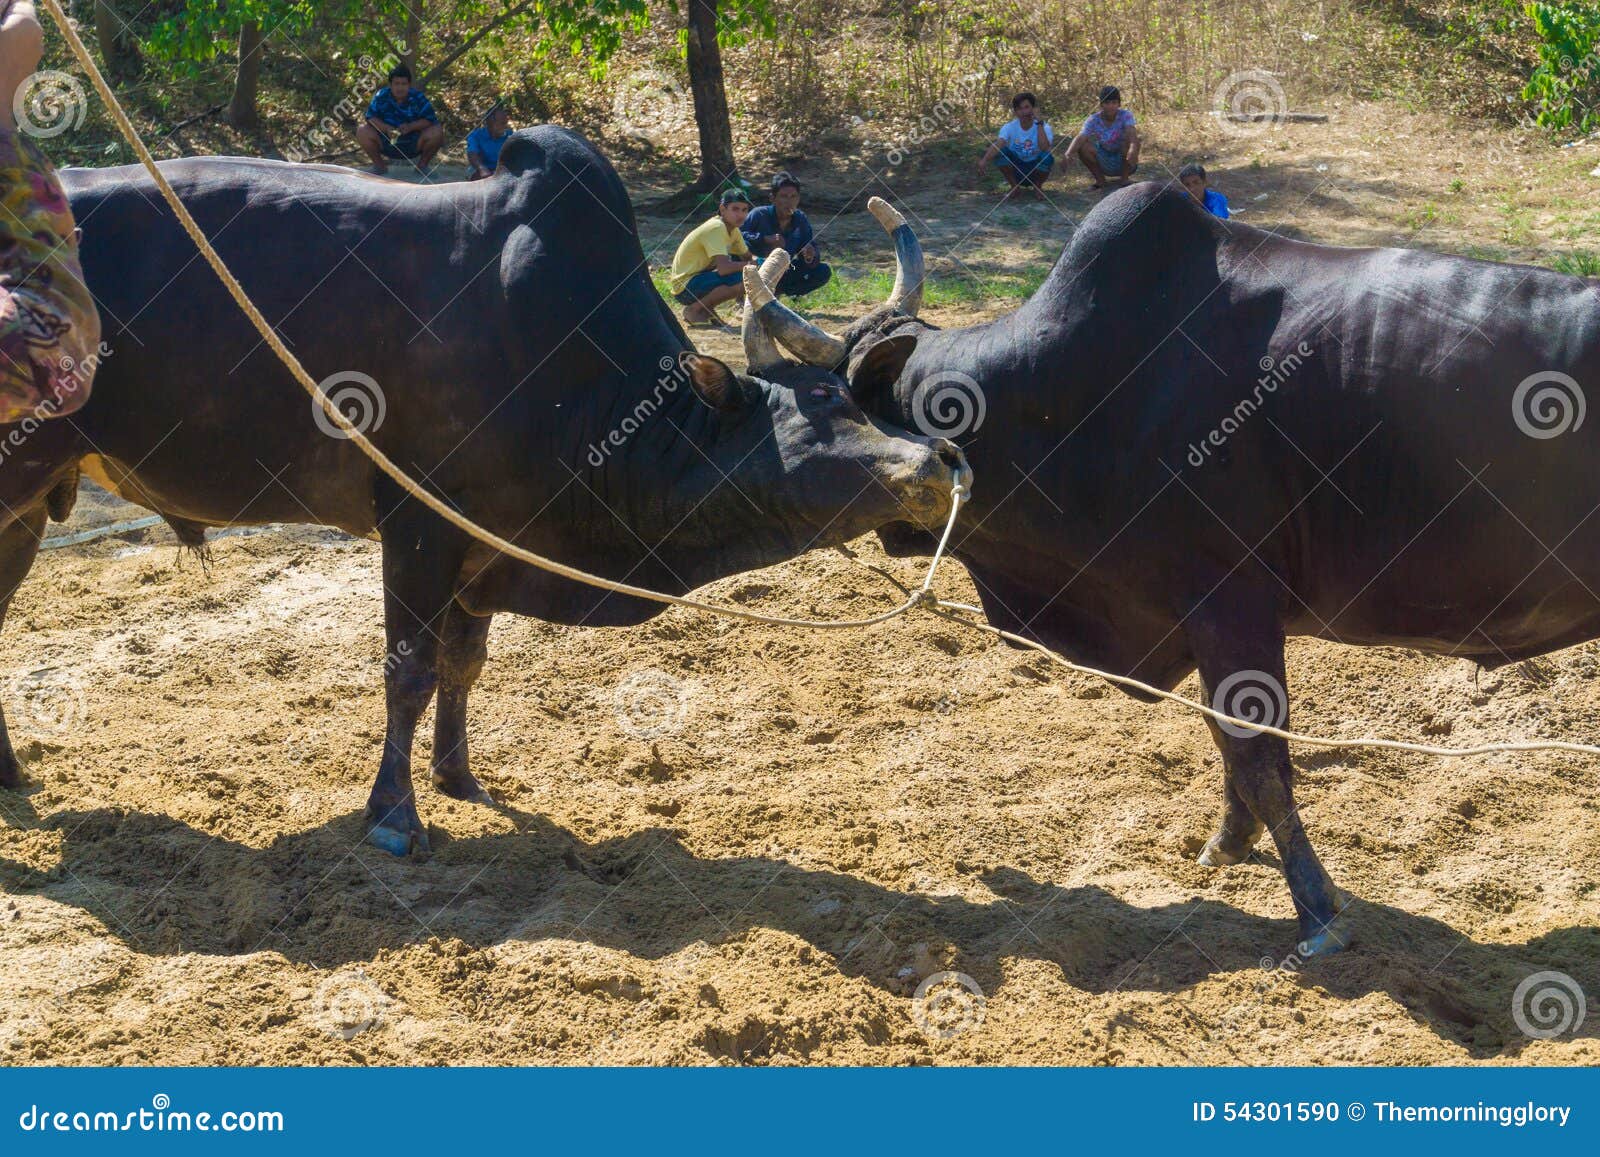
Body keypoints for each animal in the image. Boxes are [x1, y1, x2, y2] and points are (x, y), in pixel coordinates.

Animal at [0, 126, 968, 856]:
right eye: (819, 407)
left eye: (860, 396)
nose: (932, 467)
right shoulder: (419, 522)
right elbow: (411, 670)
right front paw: (395, 815)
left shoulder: (487, 544)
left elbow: (465, 664)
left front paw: (458, 777)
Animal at [750, 184, 1600, 956]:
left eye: (839, 402)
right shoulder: (1198, 615)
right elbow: (1229, 743)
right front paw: (1227, 843)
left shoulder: (1229, 602)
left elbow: (1258, 754)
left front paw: (1317, 910)